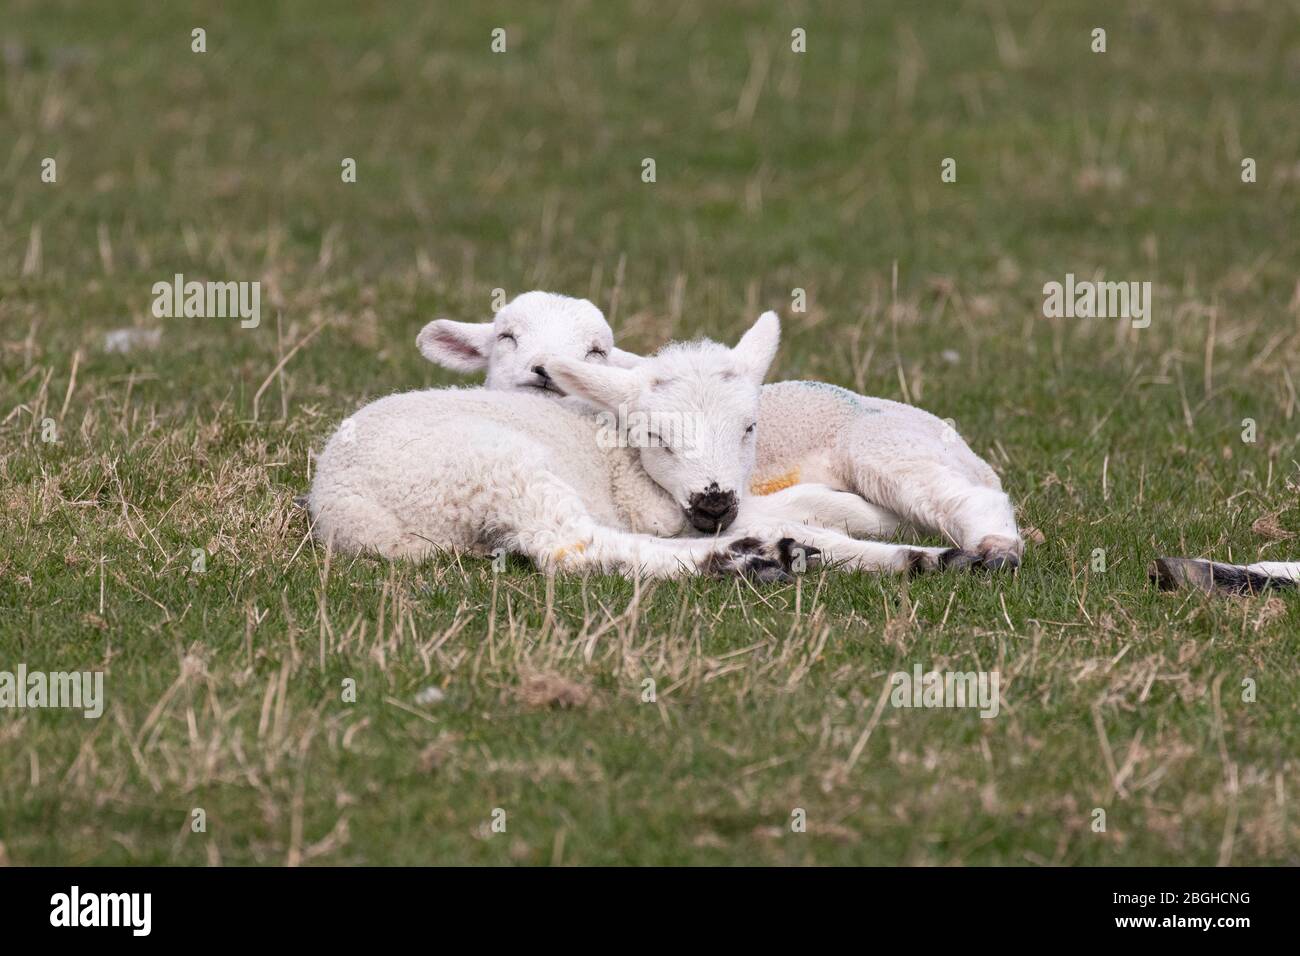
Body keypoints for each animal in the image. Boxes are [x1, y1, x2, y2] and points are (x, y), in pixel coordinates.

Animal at [310, 311, 969, 580]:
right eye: (656, 436)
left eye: (749, 428)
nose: (714, 503)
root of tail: (341, 507)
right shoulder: (657, 509)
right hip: (493, 468)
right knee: (570, 547)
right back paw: (740, 559)